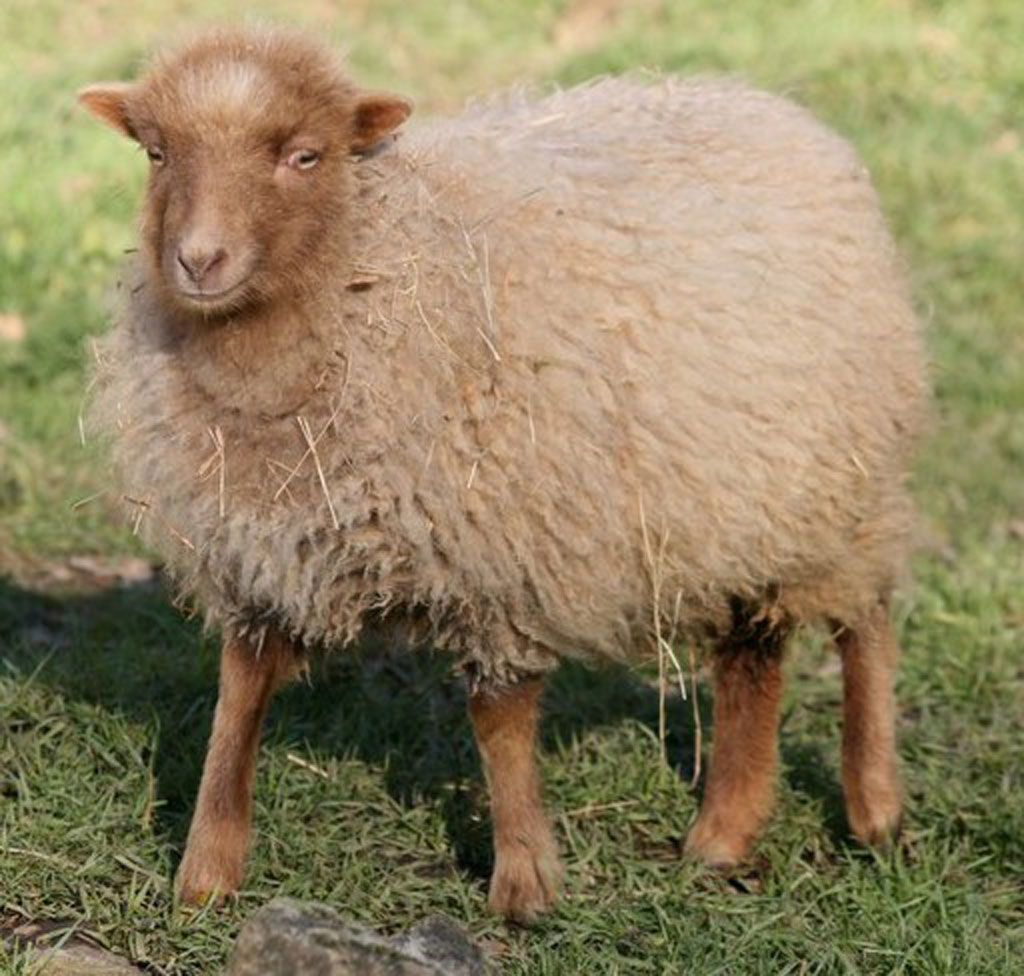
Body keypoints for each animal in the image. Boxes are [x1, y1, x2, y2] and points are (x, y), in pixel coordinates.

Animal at [78, 25, 928, 922]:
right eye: (158, 152)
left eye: (304, 155)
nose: (199, 260)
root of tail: (778, 109)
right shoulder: (258, 552)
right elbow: (236, 702)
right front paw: (205, 874)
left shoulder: (500, 555)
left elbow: (500, 720)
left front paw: (524, 881)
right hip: (737, 504)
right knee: (751, 654)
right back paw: (722, 835)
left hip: (842, 492)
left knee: (865, 628)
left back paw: (873, 808)